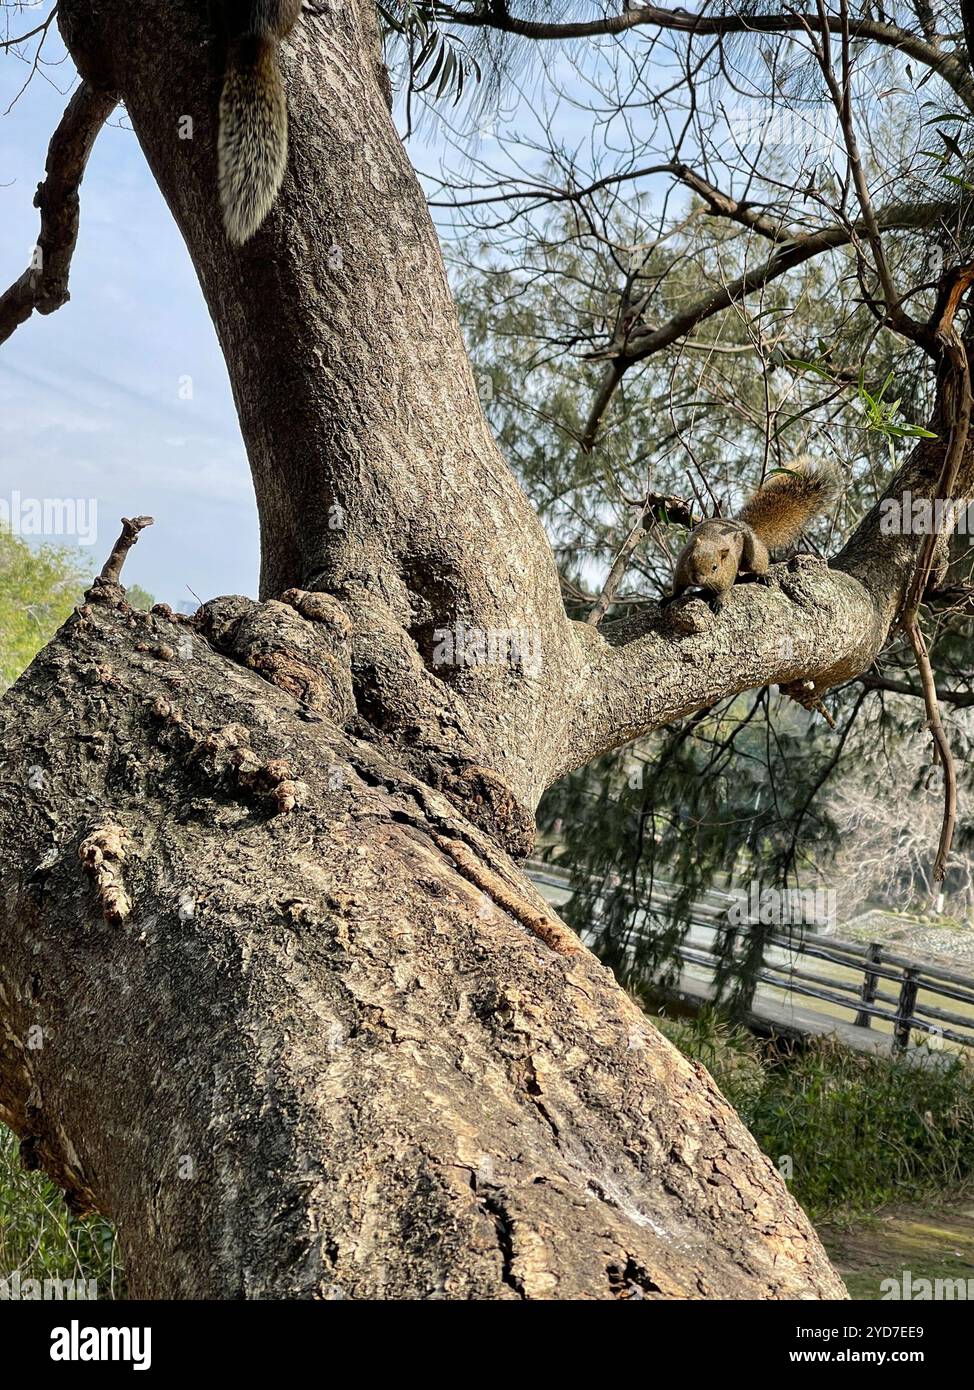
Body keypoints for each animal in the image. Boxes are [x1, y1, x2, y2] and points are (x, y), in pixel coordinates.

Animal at [670, 460, 834, 611]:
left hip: (752, 556)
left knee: (760, 564)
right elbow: (677, 587)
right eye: (691, 559)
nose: (697, 578)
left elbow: (725, 588)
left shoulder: (727, 572)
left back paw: (763, 576)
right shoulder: (681, 569)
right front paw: (670, 598)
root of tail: (743, 526)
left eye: (715, 567)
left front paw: (718, 601)